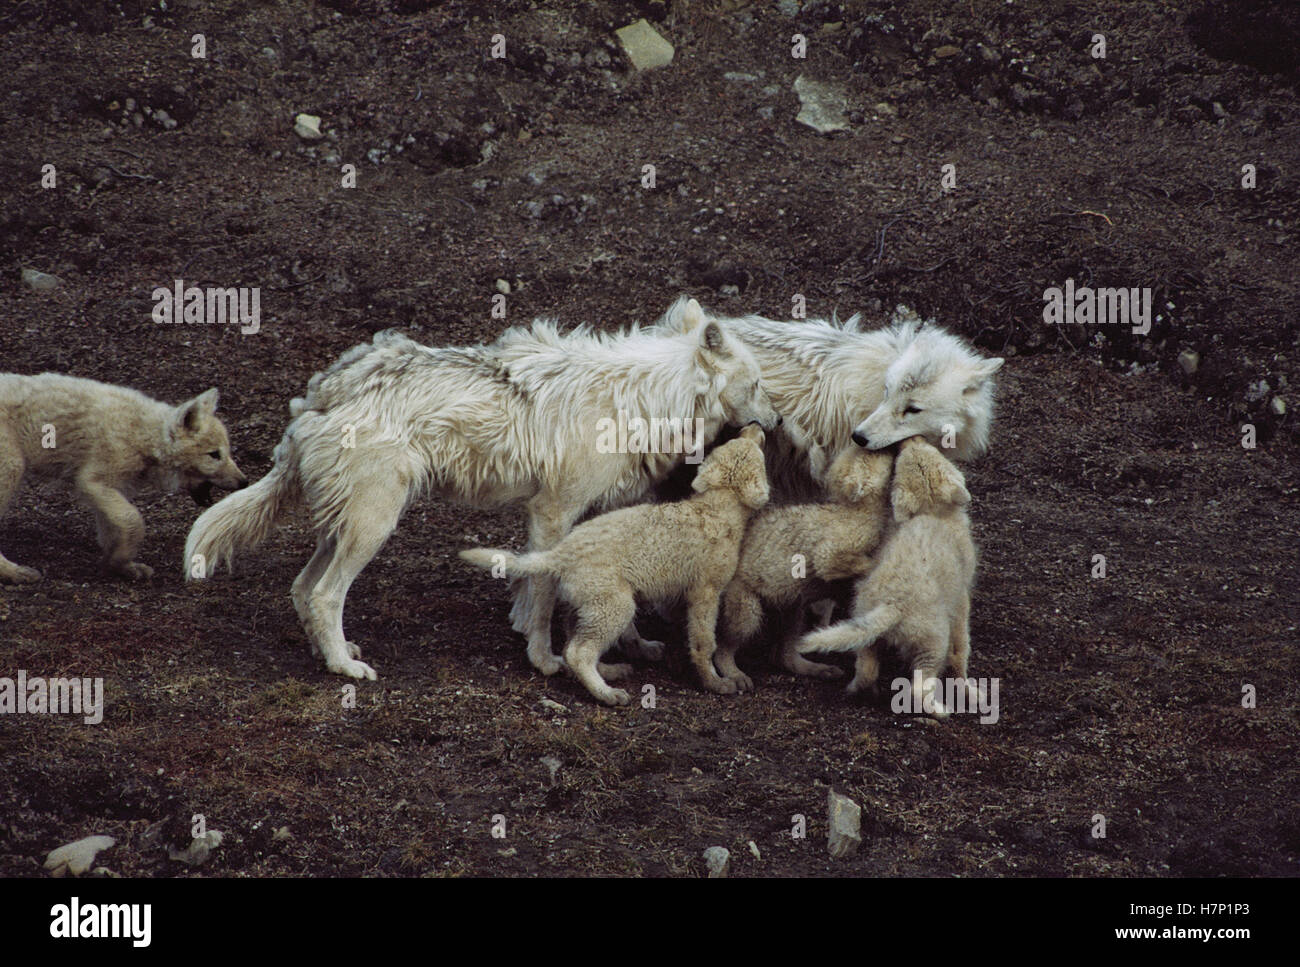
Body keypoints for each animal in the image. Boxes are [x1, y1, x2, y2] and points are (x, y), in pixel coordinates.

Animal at [0, 374, 246, 582]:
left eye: (227, 452)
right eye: (214, 454)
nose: (244, 482)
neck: (144, 435)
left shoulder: (109, 489)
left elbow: (115, 527)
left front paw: (121, 565)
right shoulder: (92, 482)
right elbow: (134, 520)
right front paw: (118, 562)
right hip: (13, 468)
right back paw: (15, 572)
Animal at [461, 426, 770, 704]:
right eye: (757, 452)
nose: (754, 425)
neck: (715, 509)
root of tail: (561, 553)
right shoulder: (705, 593)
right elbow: (704, 642)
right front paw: (715, 683)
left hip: (586, 605)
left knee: (574, 644)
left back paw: (609, 671)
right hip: (614, 605)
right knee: (579, 652)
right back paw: (608, 694)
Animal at [797, 437, 978, 719]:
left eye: (910, 454)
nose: (910, 439)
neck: (930, 511)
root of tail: (892, 606)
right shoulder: (961, 598)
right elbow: (960, 650)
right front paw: (970, 690)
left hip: (868, 632)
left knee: (866, 670)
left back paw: (861, 690)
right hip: (932, 642)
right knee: (918, 686)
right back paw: (940, 711)